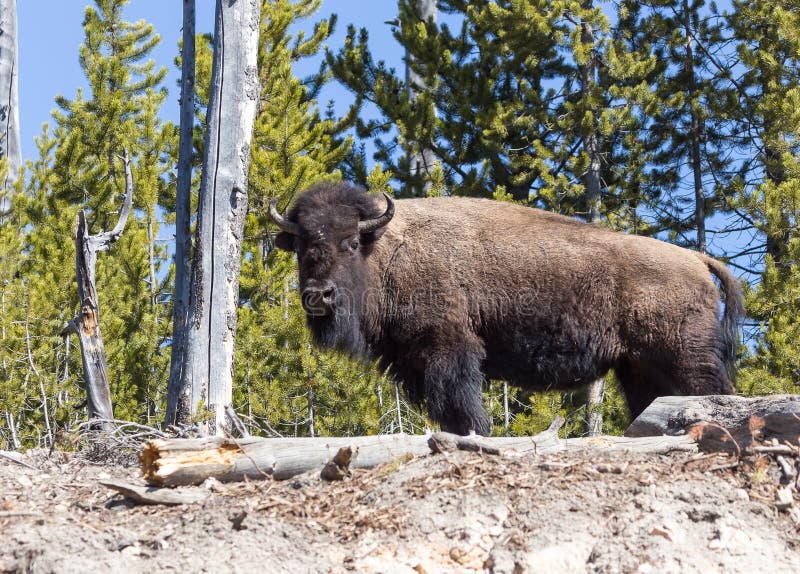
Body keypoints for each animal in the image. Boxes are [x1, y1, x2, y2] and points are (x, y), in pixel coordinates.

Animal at [269, 182, 743, 435]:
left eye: (350, 243)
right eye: (302, 247)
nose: (319, 295)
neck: (387, 249)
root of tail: (696, 259)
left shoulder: (449, 349)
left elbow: (461, 404)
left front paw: (477, 435)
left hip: (685, 359)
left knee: (713, 394)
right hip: (640, 368)